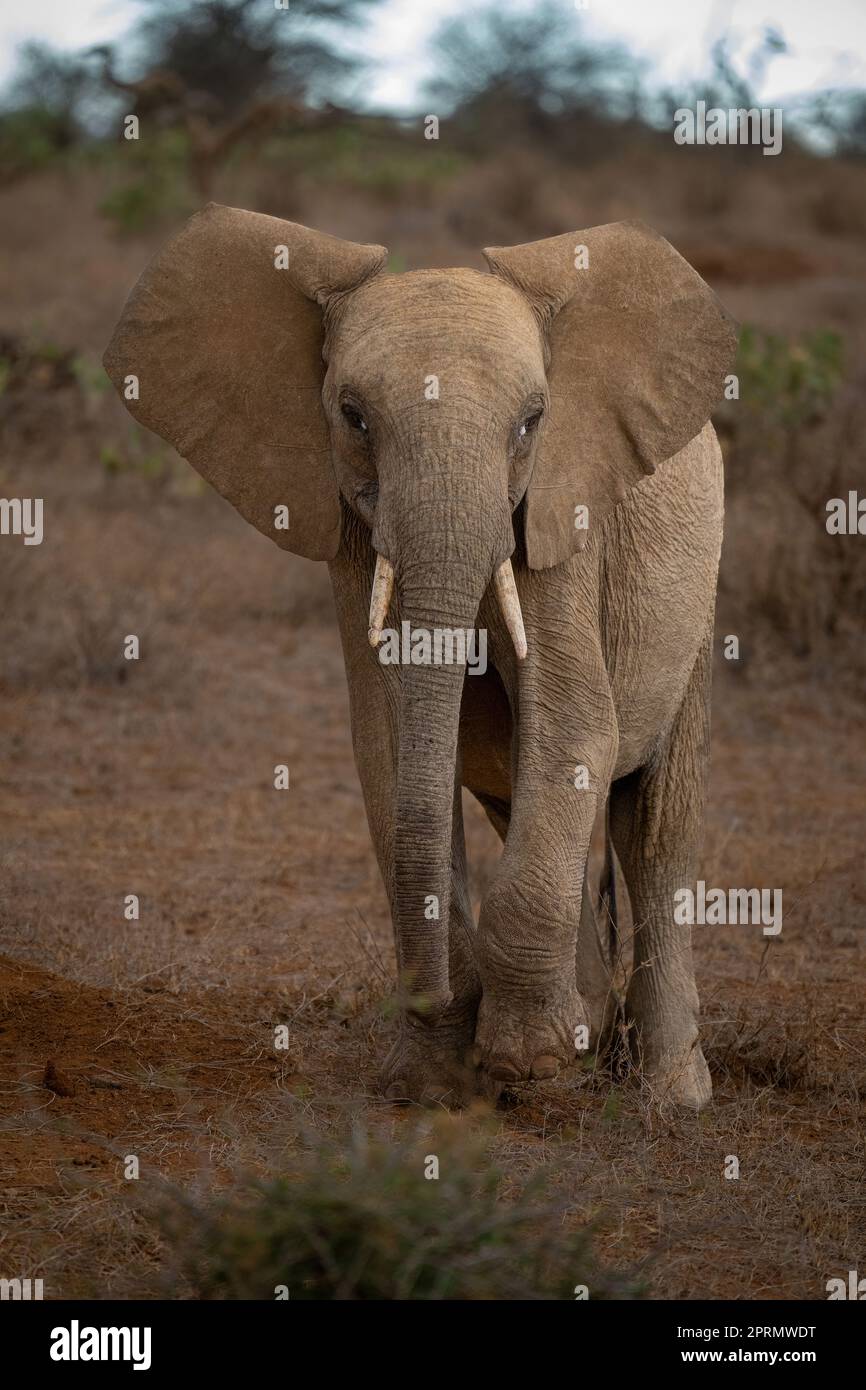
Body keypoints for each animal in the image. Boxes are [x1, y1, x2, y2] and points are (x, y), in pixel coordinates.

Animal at [104, 203, 737, 1111]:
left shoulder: (561, 513)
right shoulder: (349, 528)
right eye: (353, 415)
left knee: (654, 825)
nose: (438, 995)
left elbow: (575, 725)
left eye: (533, 420)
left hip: (698, 595)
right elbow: (389, 745)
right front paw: (441, 1077)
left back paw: (667, 1094)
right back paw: (590, 1033)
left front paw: (526, 1064)